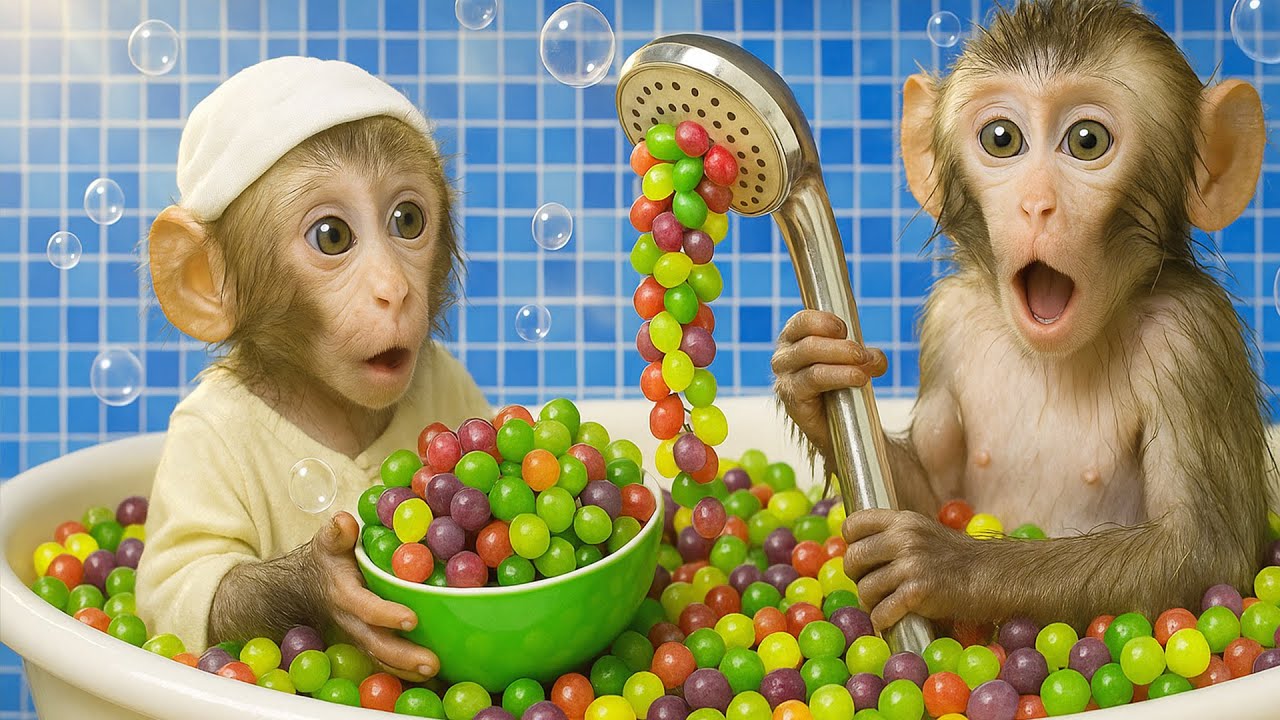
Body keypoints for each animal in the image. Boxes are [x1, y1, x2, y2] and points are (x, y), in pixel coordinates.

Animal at [135, 57, 492, 681]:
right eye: (332, 236)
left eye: (408, 220)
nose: (393, 291)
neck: (328, 401)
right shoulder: (200, 439)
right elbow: (188, 578)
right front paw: (327, 580)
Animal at [771, 0, 1275, 633]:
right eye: (1002, 138)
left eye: (1087, 141)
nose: (1036, 204)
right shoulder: (947, 318)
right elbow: (937, 489)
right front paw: (810, 377)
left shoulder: (1193, 336)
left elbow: (1204, 546)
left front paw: (944, 564)